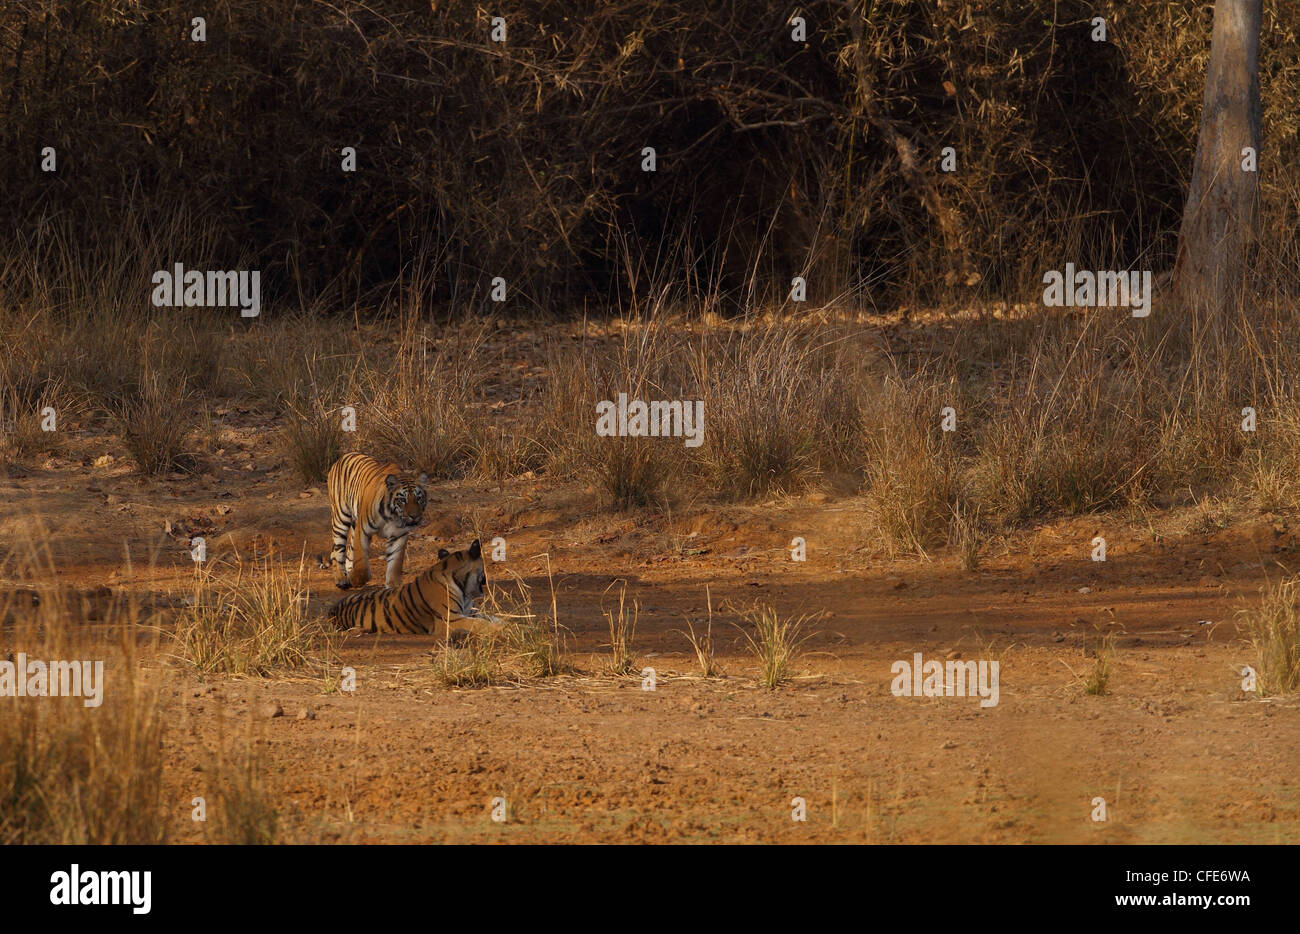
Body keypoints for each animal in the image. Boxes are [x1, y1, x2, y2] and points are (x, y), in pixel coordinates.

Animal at [327, 452, 429, 590]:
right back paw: (341, 578)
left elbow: (395, 564)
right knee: (338, 549)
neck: (392, 516)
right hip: (341, 518)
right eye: (403, 499)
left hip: (354, 525)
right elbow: (361, 564)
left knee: (348, 550)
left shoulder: (398, 536)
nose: (414, 516)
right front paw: (355, 579)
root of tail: (342, 457)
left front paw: (393, 586)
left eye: (419, 498)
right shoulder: (363, 531)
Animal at [327, 539, 502, 638]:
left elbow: (488, 617)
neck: (464, 588)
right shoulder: (450, 619)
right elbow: (479, 623)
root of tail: (332, 610)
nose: (486, 580)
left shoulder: (467, 612)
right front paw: (501, 628)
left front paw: (502, 621)